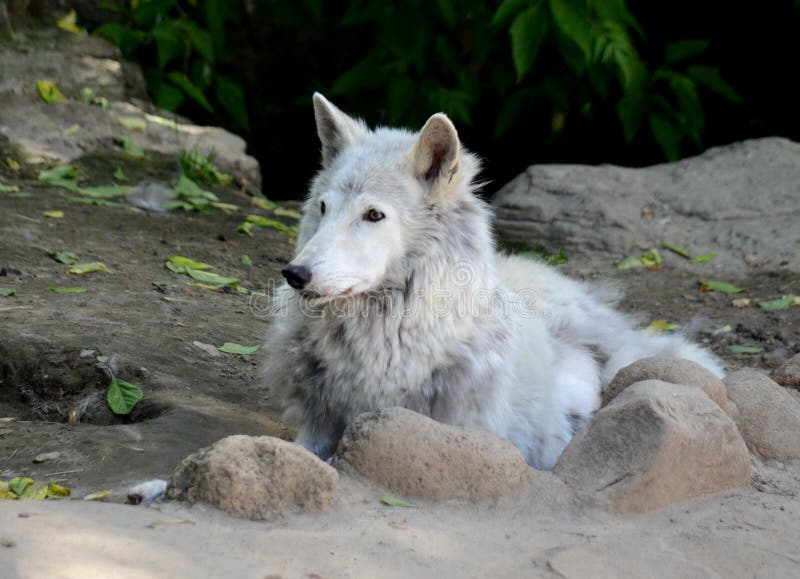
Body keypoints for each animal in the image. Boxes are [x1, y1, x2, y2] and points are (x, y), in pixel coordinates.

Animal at [262, 93, 723, 470]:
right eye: (324, 208)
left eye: (374, 215)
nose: (295, 274)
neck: (384, 340)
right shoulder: (316, 427)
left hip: (607, 343)